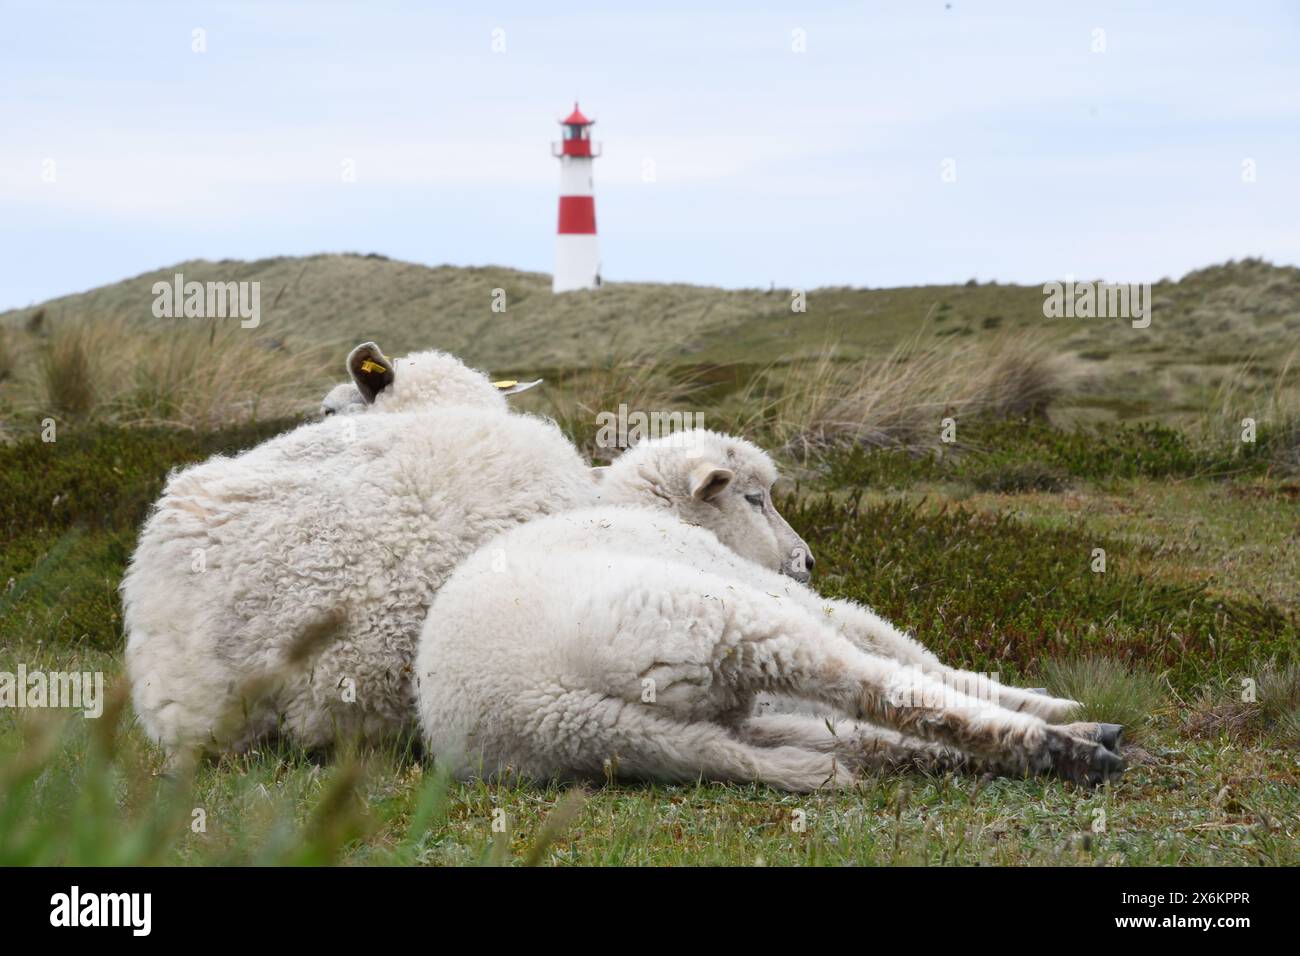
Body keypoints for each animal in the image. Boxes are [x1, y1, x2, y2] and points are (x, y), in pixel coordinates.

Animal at [415, 505, 1126, 791]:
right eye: (755, 498)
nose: (805, 559)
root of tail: (537, 701)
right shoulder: (804, 604)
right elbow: (909, 656)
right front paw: (1047, 704)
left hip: (659, 733)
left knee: (843, 740)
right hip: (726, 621)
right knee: (878, 691)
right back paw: (1066, 747)